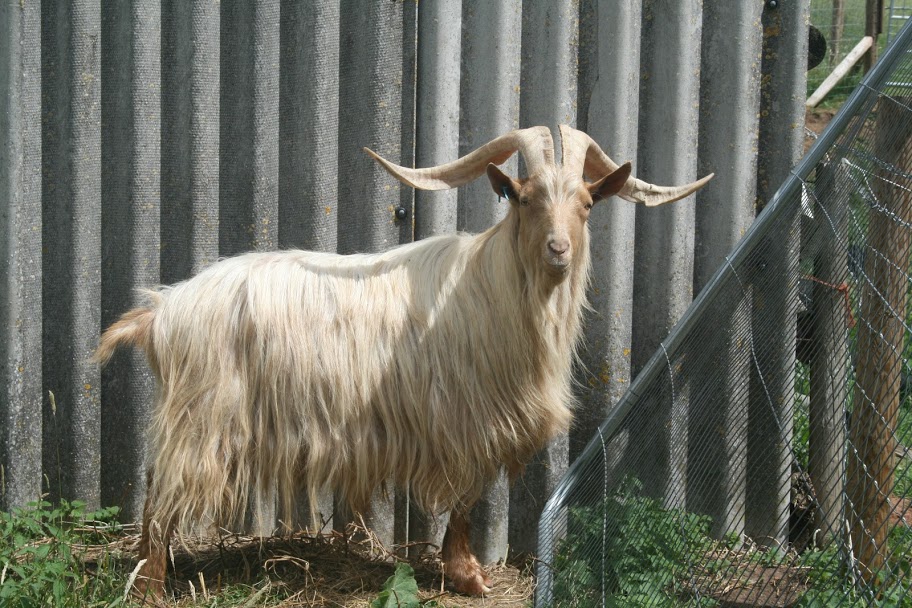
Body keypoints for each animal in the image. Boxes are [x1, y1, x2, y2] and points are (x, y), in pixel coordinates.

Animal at [95, 125, 712, 599]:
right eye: (525, 198)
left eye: (585, 204)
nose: (558, 250)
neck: (495, 288)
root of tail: (162, 311)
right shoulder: (465, 422)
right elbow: (464, 500)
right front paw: (468, 577)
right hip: (202, 416)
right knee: (161, 492)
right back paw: (150, 586)